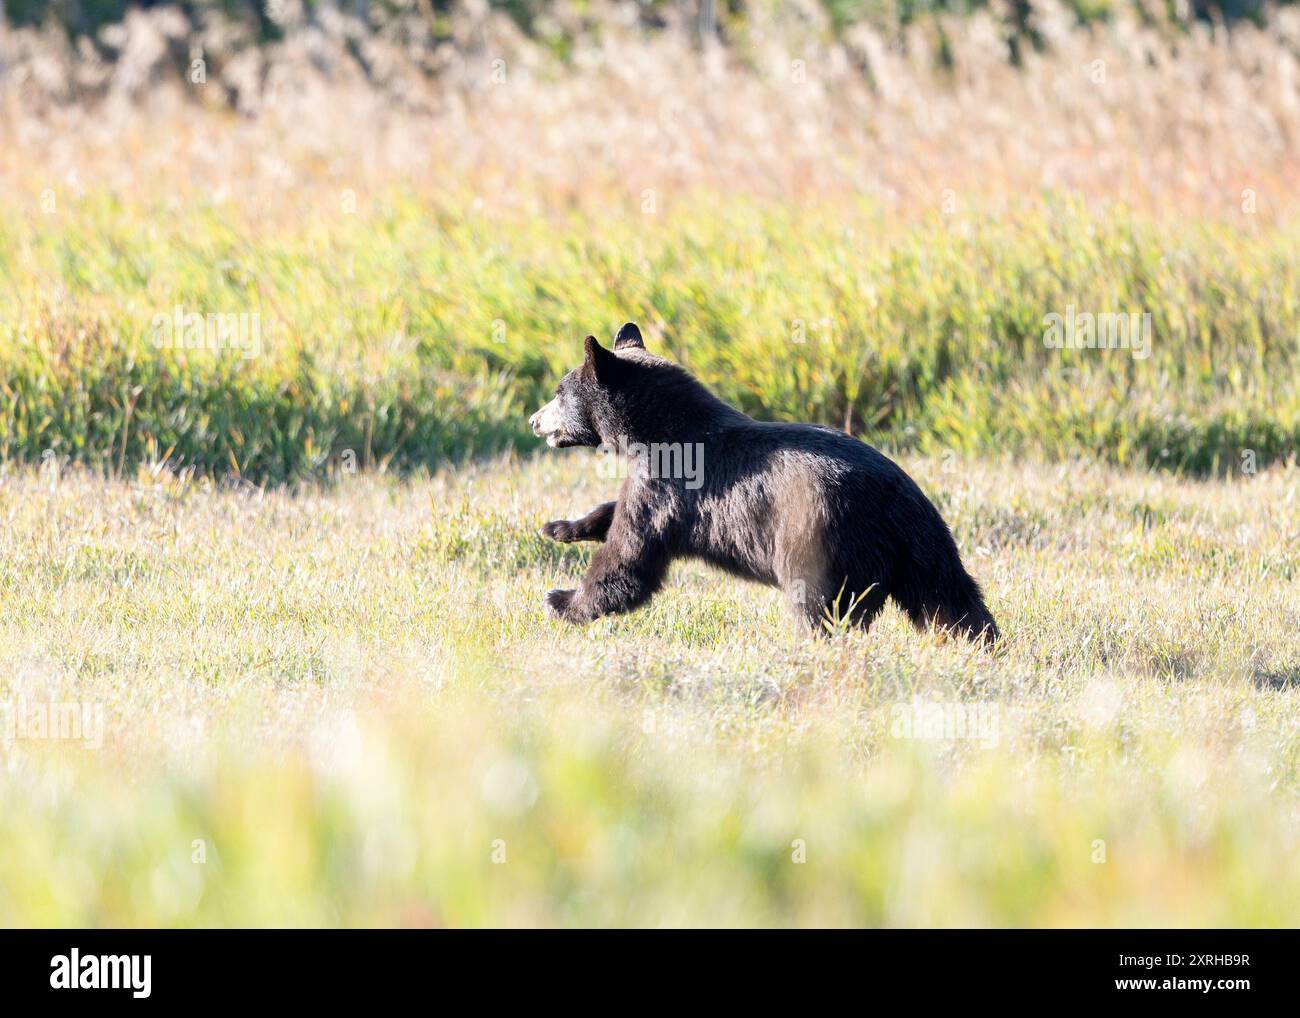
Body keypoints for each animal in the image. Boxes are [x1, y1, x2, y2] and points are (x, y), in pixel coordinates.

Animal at [530, 322, 998, 643]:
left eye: (558, 392)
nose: (534, 420)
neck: (654, 433)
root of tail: (900, 504)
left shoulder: (668, 487)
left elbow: (629, 557)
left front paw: (561, 600)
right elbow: (617, 513)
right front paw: (560, 527)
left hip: (822, 539)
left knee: (820, 606)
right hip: (927, 549)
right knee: (951, 600)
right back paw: (983, 644)